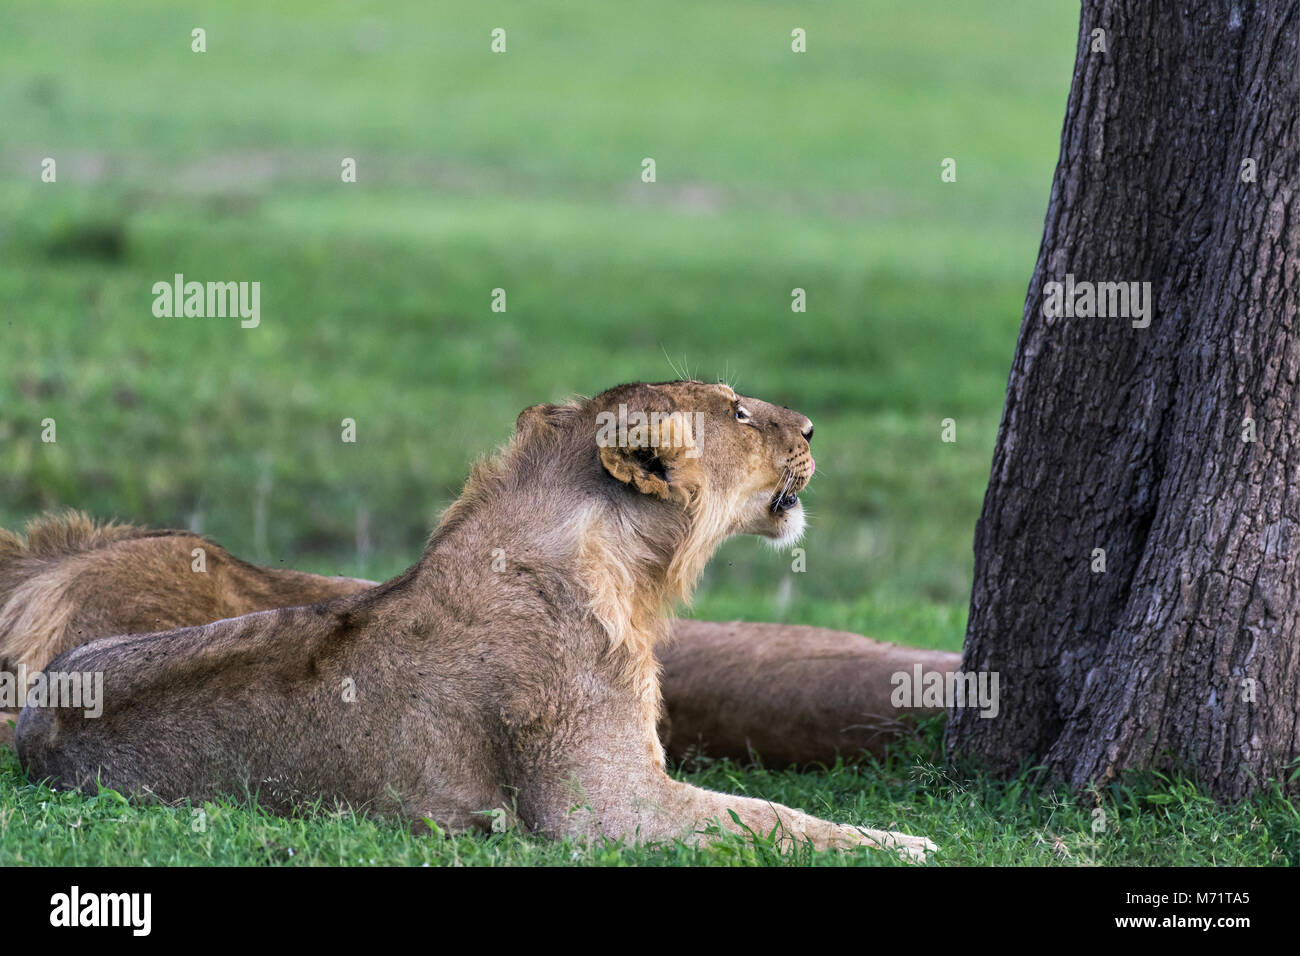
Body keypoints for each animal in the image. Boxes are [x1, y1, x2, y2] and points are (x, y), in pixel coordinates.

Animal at [12, 381, 938, 860]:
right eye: (740, 412)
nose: (813, 427)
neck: (628, 573)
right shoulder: (603, 811)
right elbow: (770, 818)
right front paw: (904, 842)